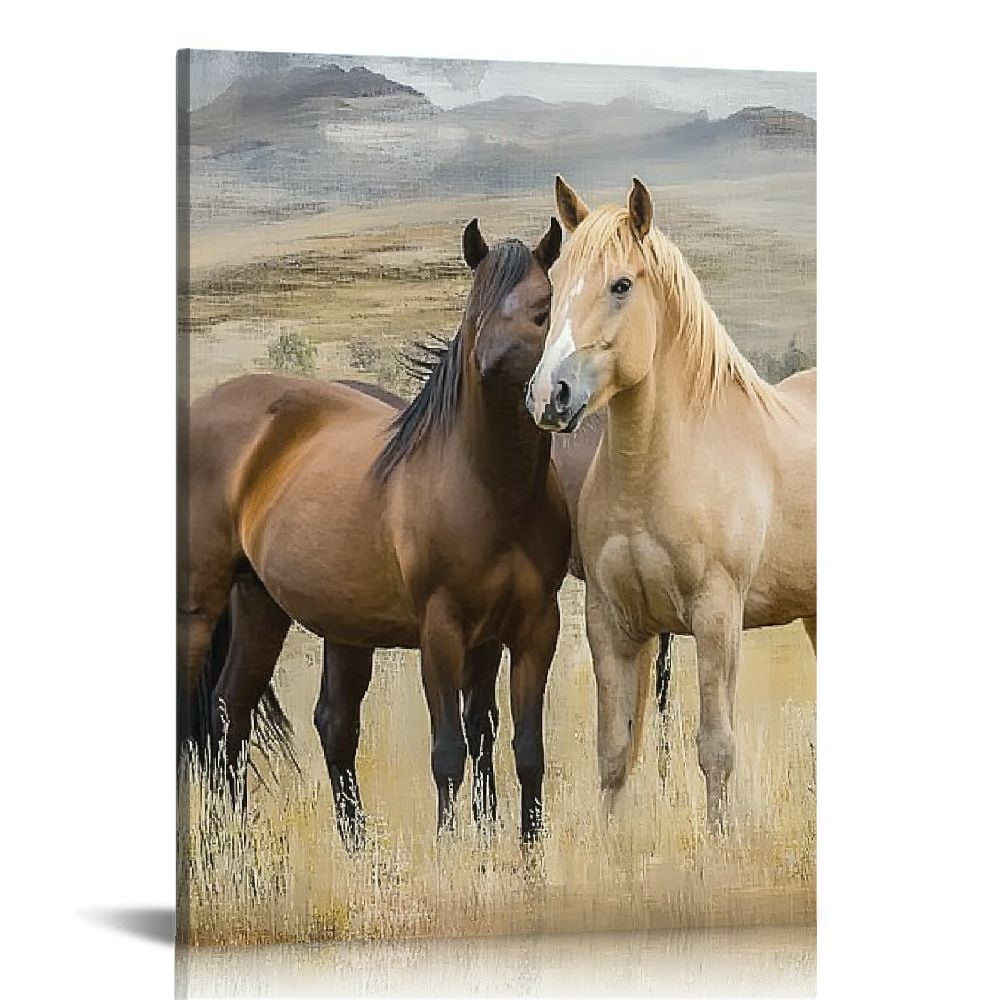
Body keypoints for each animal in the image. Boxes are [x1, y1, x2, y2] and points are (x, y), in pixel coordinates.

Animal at [178, 217, 569, 847]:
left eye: (543, 310)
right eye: (475, 306)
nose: (489, 367)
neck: (491, 490)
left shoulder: (531, 628)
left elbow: (518, 745)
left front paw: (525, 850)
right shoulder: (441, 630)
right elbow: (449, 749)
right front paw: (453, 850)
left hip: (271, 607)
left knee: (239, 715)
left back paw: (259, 844)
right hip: (197, 607)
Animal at [526, 177, 816, 831]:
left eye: (621, 285)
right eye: (556, 283)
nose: (550, 396)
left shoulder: (716, 617)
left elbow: (715, 748)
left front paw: (719, 842)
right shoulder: (612, 621)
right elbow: (615, 752)